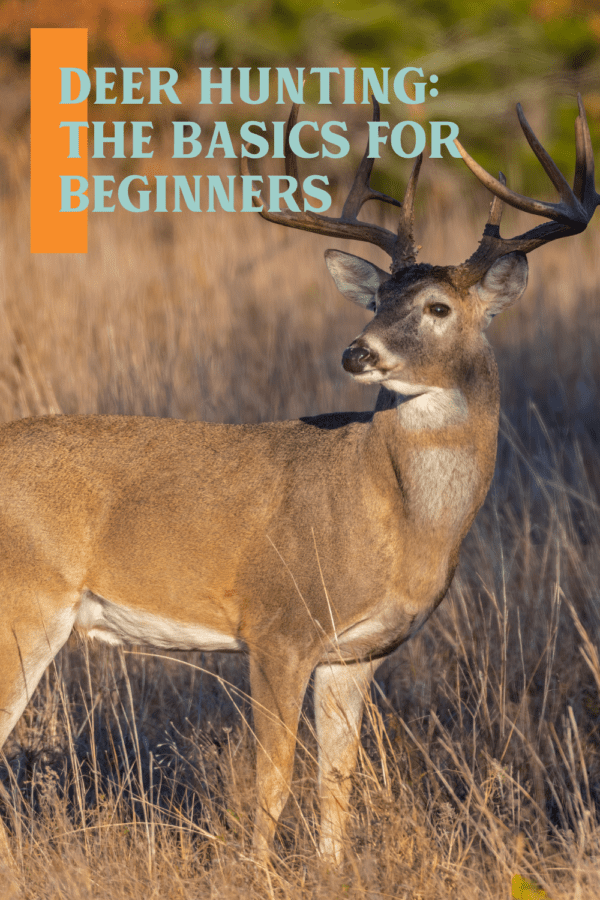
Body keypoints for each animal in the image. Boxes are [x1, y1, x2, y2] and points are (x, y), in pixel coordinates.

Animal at [0, 96, 597, 868]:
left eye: (437, 308)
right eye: (375, 299)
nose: (356, 352)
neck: (394, 514)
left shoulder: (356, 652)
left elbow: (335, 780)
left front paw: (331, 870)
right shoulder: (280, 622)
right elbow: (274, 777)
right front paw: (258, 873)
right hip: (25, 602)